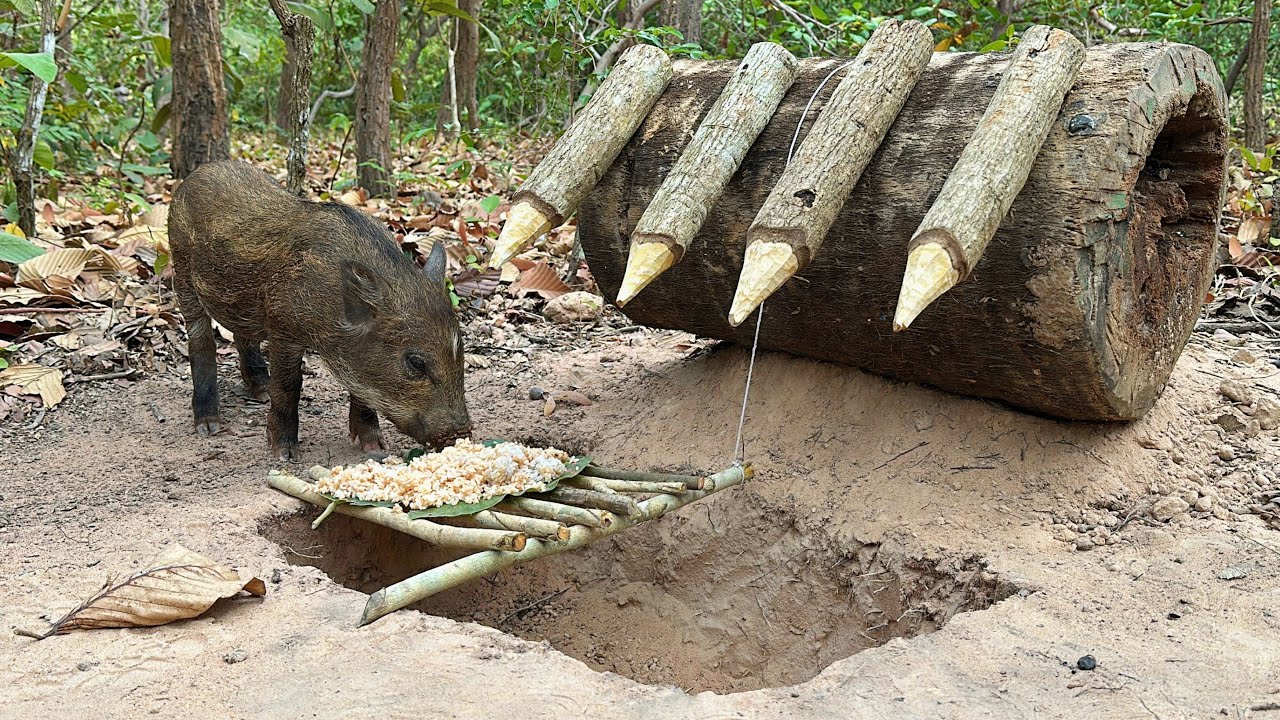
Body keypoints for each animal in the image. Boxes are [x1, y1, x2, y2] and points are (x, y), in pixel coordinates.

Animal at [168, 160, 471, 460]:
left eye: (461, 352)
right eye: (416, 362)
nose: (462, 434)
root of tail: (197, 173)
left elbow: (361, 391)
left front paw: (376, 450)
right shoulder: (283, 328)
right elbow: (289, 387)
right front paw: (285, 455)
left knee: (244, 336)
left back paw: (261, 392)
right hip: (181, 272)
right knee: (201, 343)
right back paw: (209, 426)